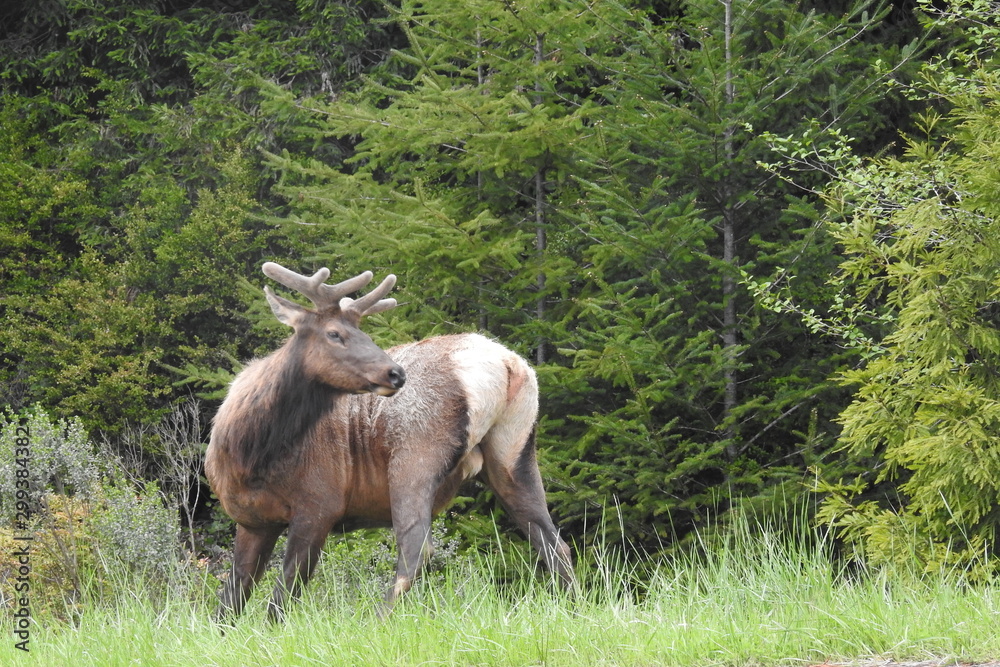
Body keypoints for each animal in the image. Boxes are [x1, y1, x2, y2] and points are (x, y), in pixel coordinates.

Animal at [205, 262, 575, 622]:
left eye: (364, 333)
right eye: (334, 333)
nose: (395, 372)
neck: (250, 455)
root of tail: (508, 364)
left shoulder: (320, 504)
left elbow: (283, 594)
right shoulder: (253, 521)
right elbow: (230, 601)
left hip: (414, 454)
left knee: (417, 548)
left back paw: (377, 620)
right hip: (514, 453)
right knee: (553, 541)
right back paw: (572, 608)